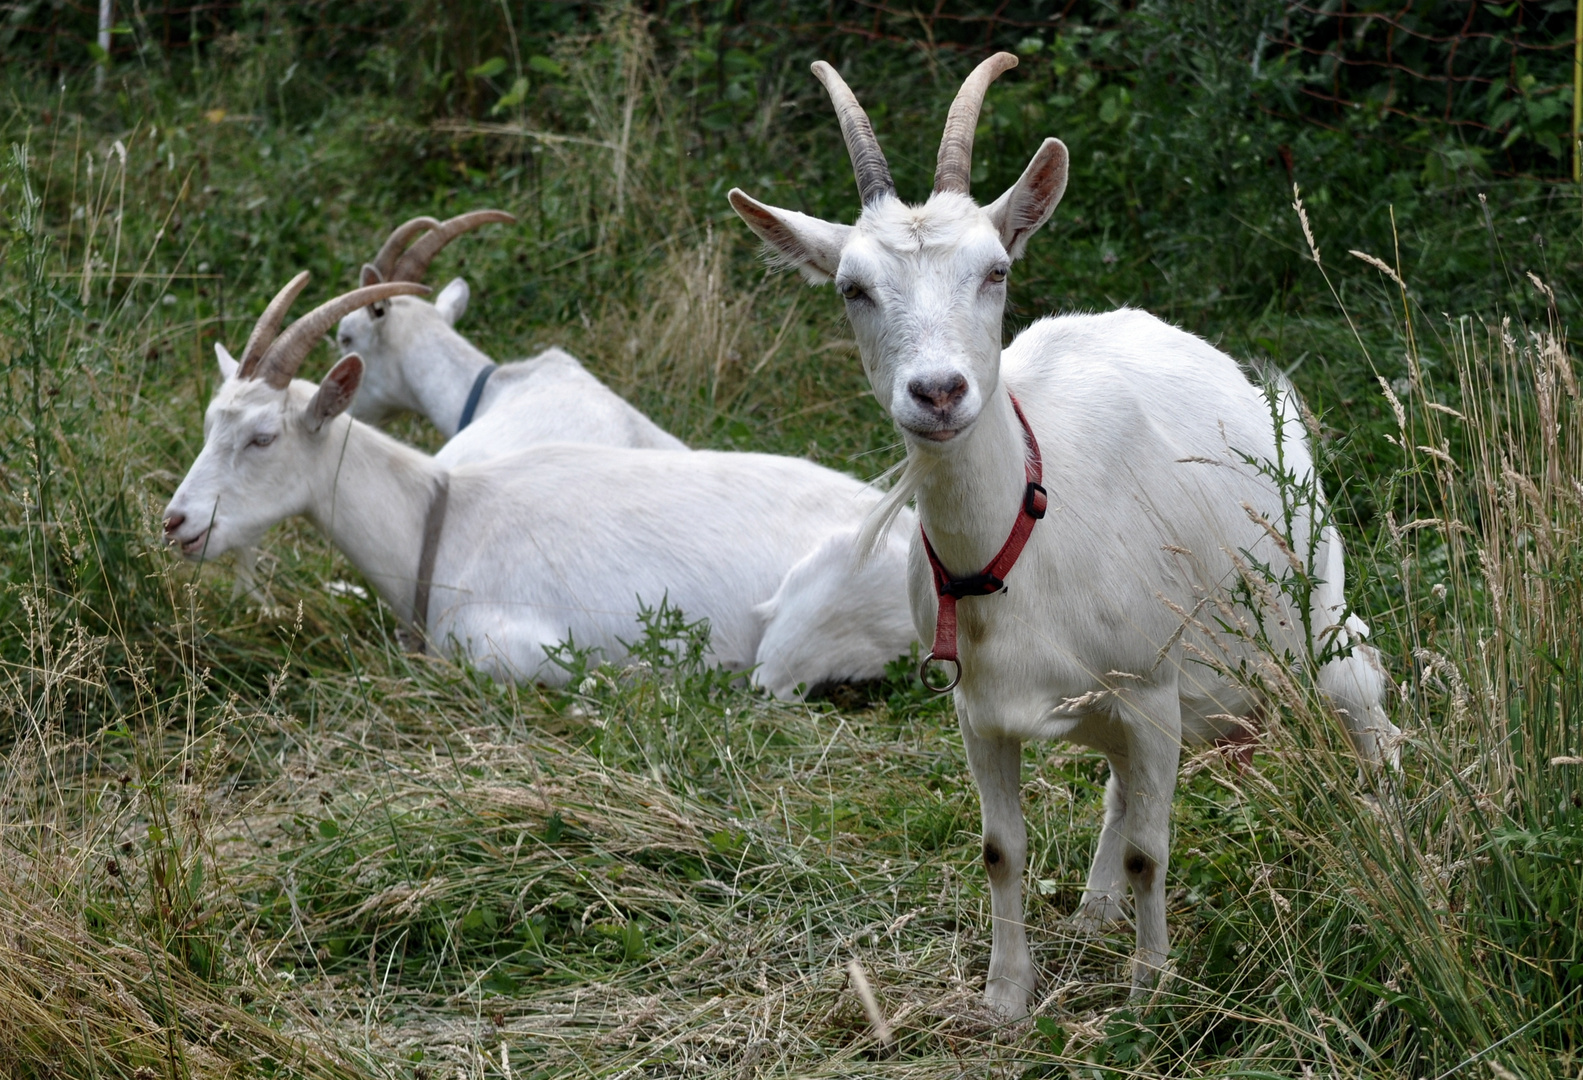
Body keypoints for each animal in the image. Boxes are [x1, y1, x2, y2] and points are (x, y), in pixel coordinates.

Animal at [165, 274, 914, 694]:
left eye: (263, 437)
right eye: (208, 423)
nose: (178, 522)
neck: (442, 520)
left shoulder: (513, 641)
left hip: (812, 618)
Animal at [728, 53, 1398, 1015]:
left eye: (995, 270)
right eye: (851, 288)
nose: (937, 392)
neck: (1016, 548)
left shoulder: (1152, 686)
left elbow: (1154, 851)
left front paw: (1149, 996)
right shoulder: (979, 711)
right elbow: (1001, 851)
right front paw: (1007, 997)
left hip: (1310, 607)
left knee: (1362, 697)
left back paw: (1401, 840)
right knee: (1121, 790)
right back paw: (1092, 910)